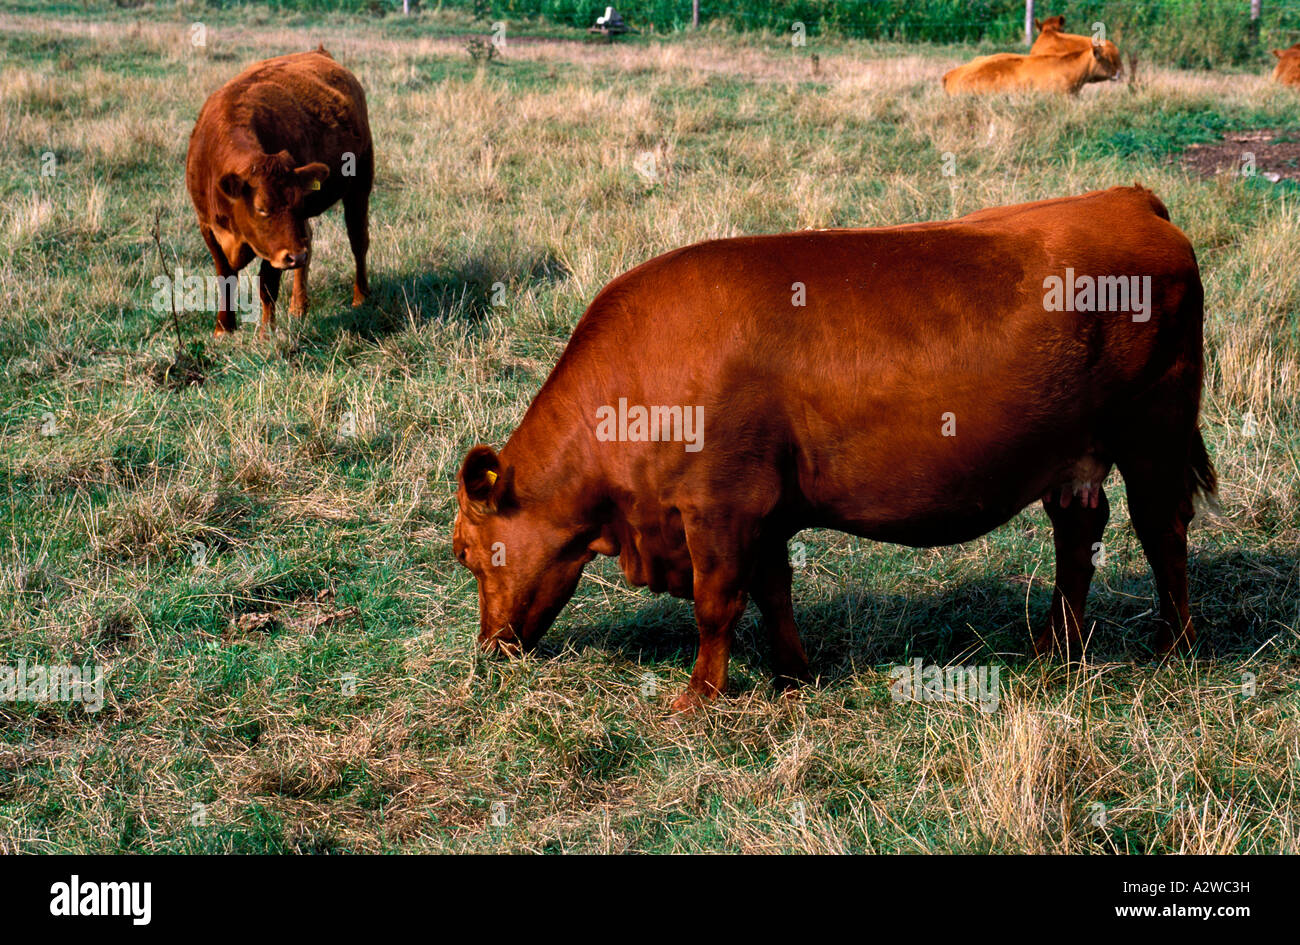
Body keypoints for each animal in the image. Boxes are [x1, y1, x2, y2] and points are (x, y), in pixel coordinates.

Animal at [185, 47, 373, 336]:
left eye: (298, 202)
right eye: (261, 208)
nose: (295, 256)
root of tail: (320, 52)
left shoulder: (277, 250)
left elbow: (267, 284)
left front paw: (266, 333)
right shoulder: (207, 227)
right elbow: (224, 277)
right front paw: (224, 328)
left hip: (360, 185)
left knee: (358, 241)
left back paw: (360, 296)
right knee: (310, 242)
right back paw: (298, 306)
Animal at [453, 185, 1215, 712]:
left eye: (466, 552)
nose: (490, 648)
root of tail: (1126, 199)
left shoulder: (720, 507)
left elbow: (716, 602)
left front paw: (699, 696)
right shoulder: (764, 511)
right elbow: (773, 590)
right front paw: (793, 675)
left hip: (1156, 430)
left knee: (1162, 530)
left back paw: (1173, 647)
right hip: (1075, 456)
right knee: (1078, 537)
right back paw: (1057, 649)